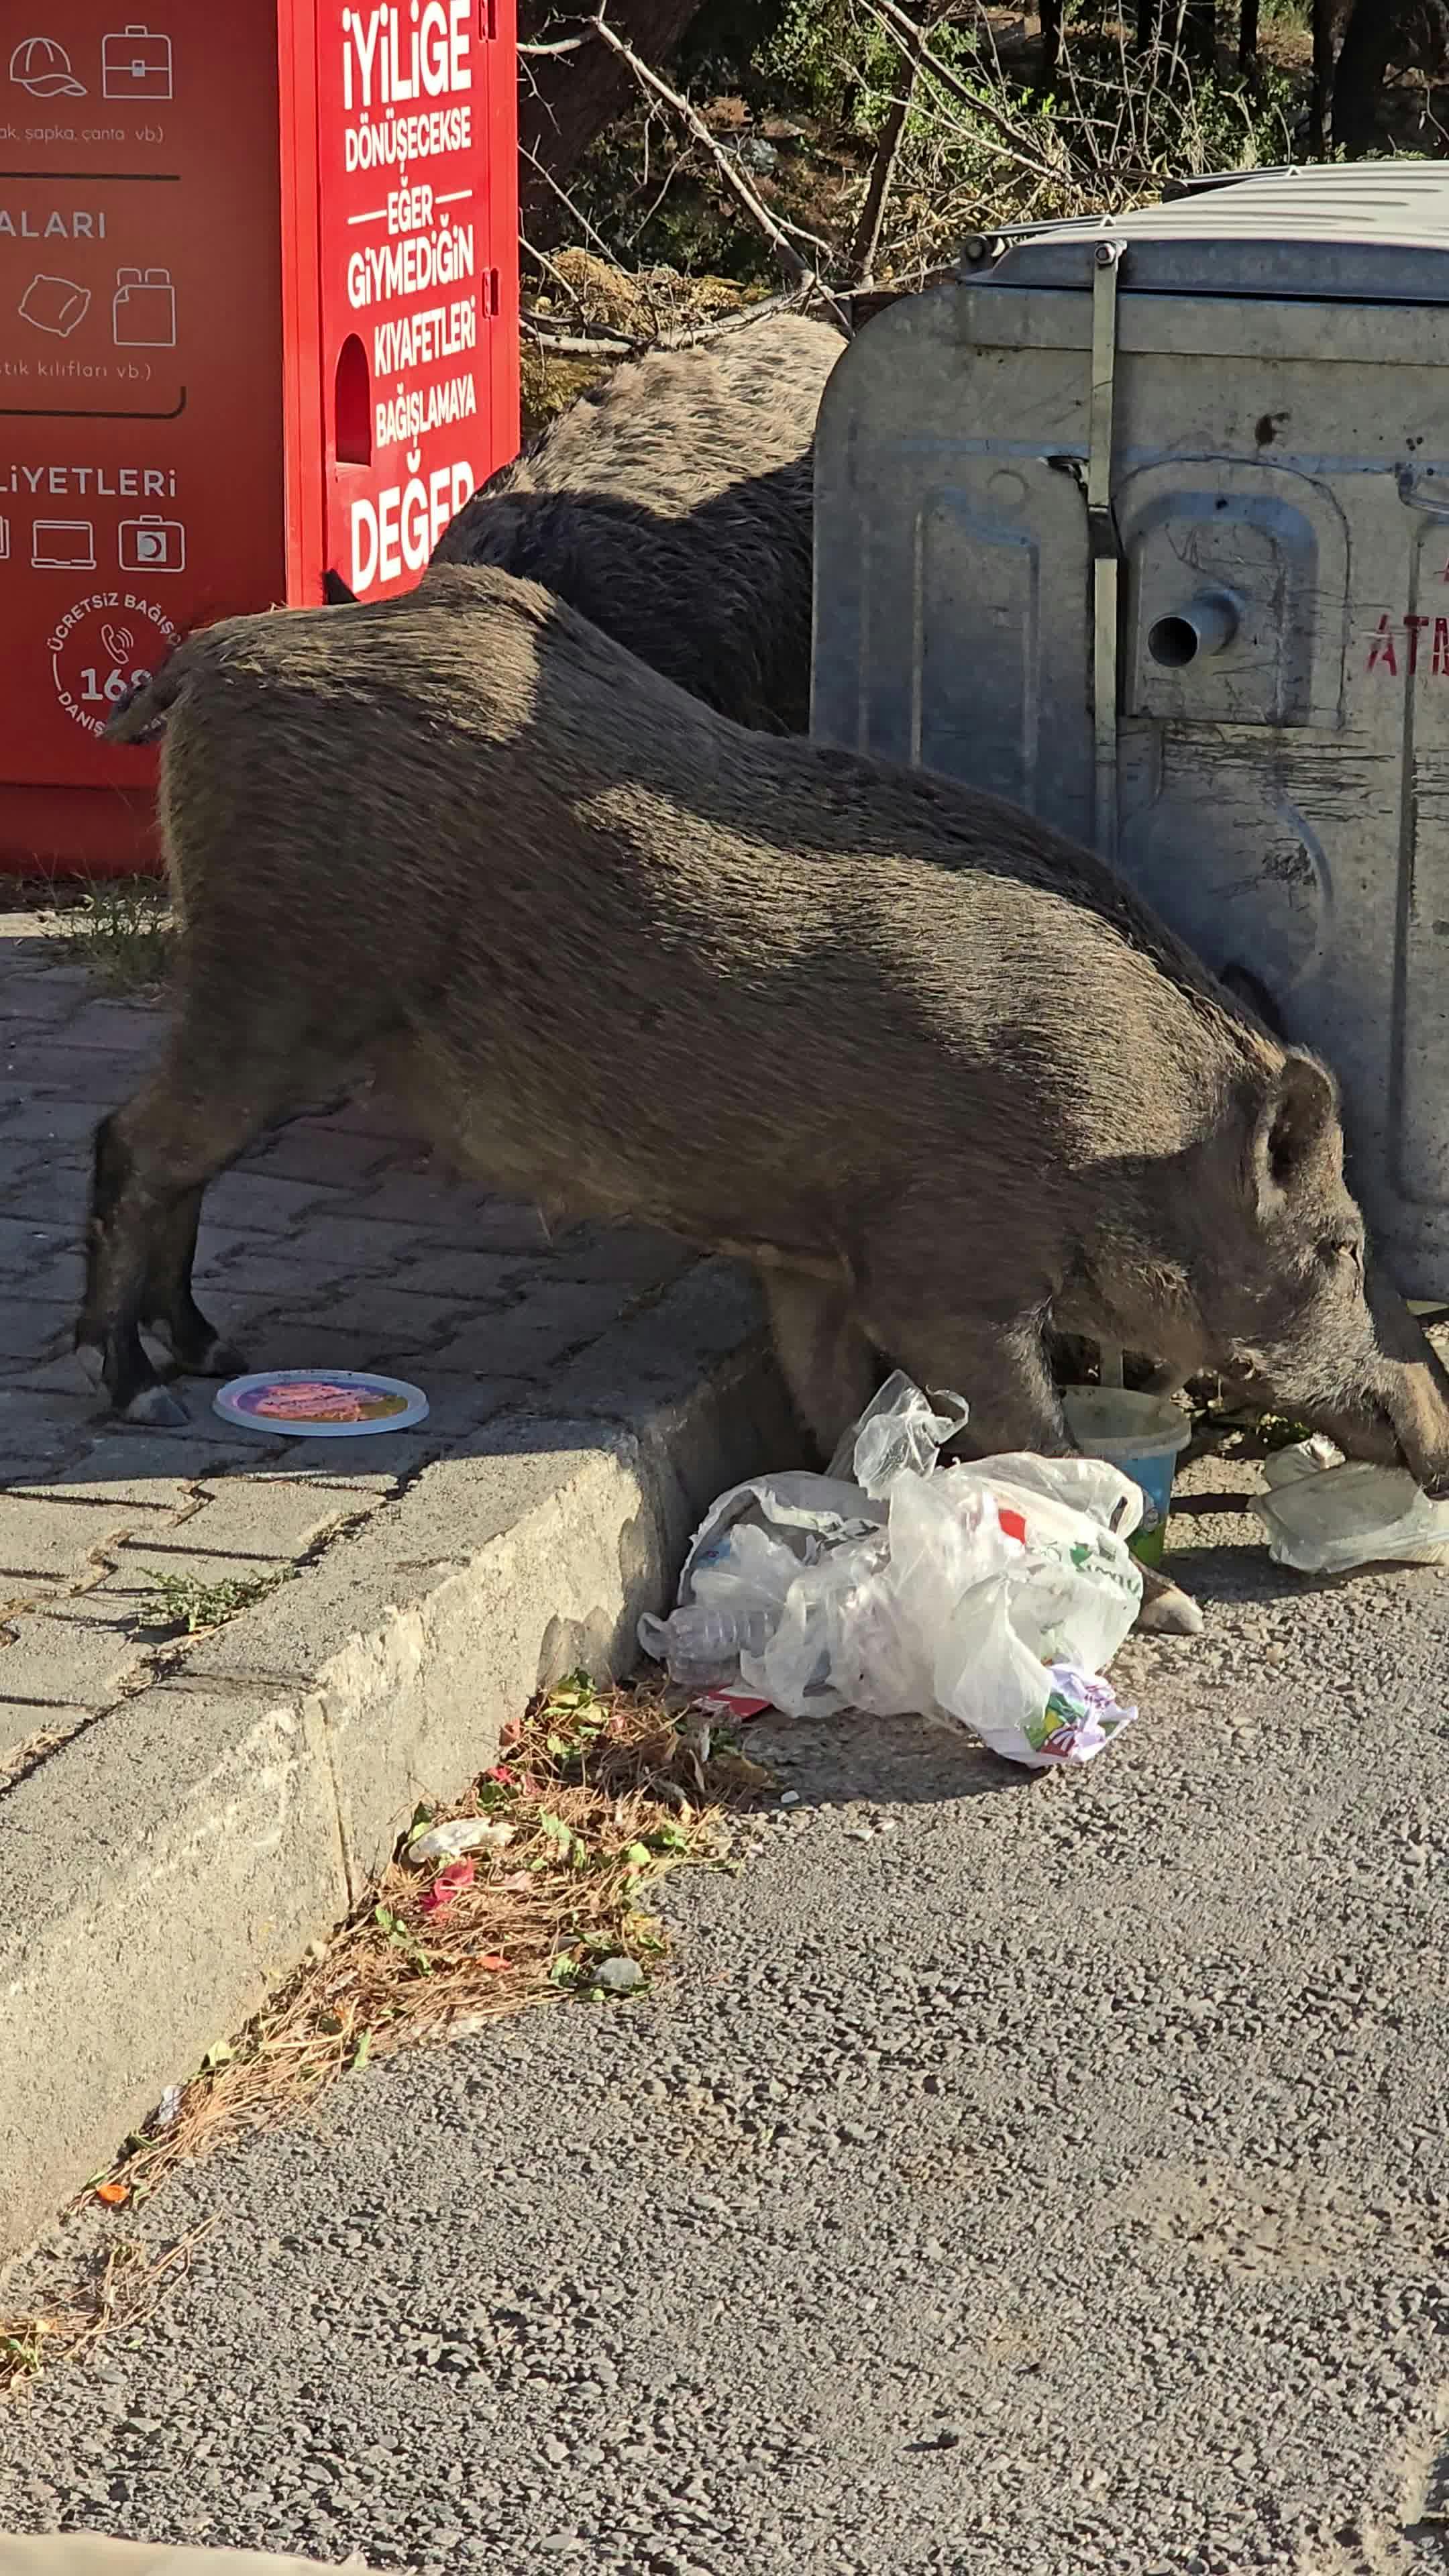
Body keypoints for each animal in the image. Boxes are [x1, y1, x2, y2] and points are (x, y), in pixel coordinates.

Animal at [84, 566, 1449, 1635]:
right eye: (1340, 1245)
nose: (1440, 1433)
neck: (1115, 1134)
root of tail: (211, 653)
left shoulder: (812, 1260)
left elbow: (837, 1406)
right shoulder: (945, 1278)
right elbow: (1029, 1432)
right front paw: (1160, 1604)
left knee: (177, 1168)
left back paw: (205, 1350)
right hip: (277, 982)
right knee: (131, 1146)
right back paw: (139, 1388)